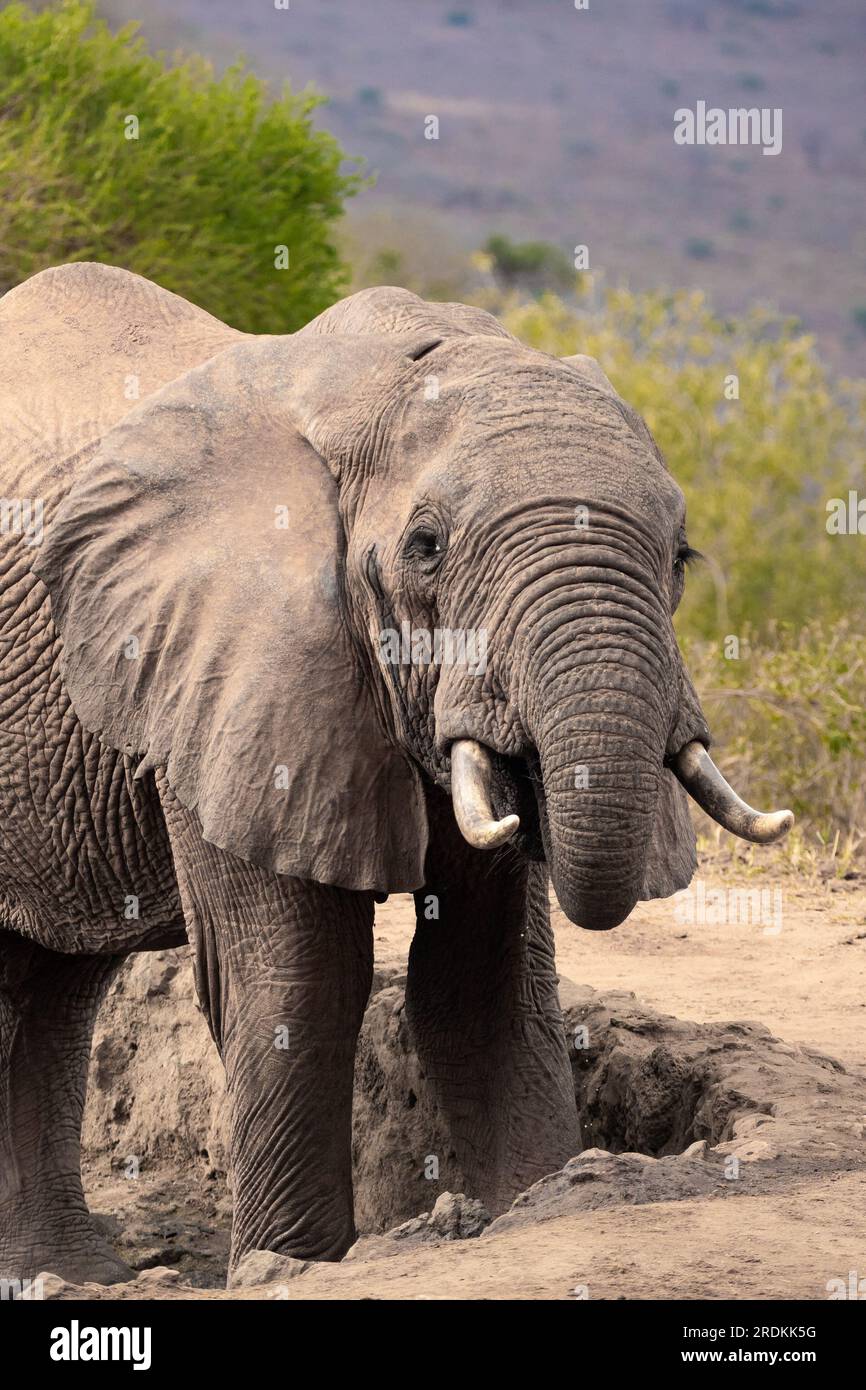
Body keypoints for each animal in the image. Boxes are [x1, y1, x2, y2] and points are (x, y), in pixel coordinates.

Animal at [0, 262, 792, 1286]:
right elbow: (299, 979)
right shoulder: (226, 666)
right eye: (426, 549)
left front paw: (541, 1198)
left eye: (682, 557)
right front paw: (289, 1268)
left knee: (51, 984)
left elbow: (481, 976)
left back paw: (67, 1273)